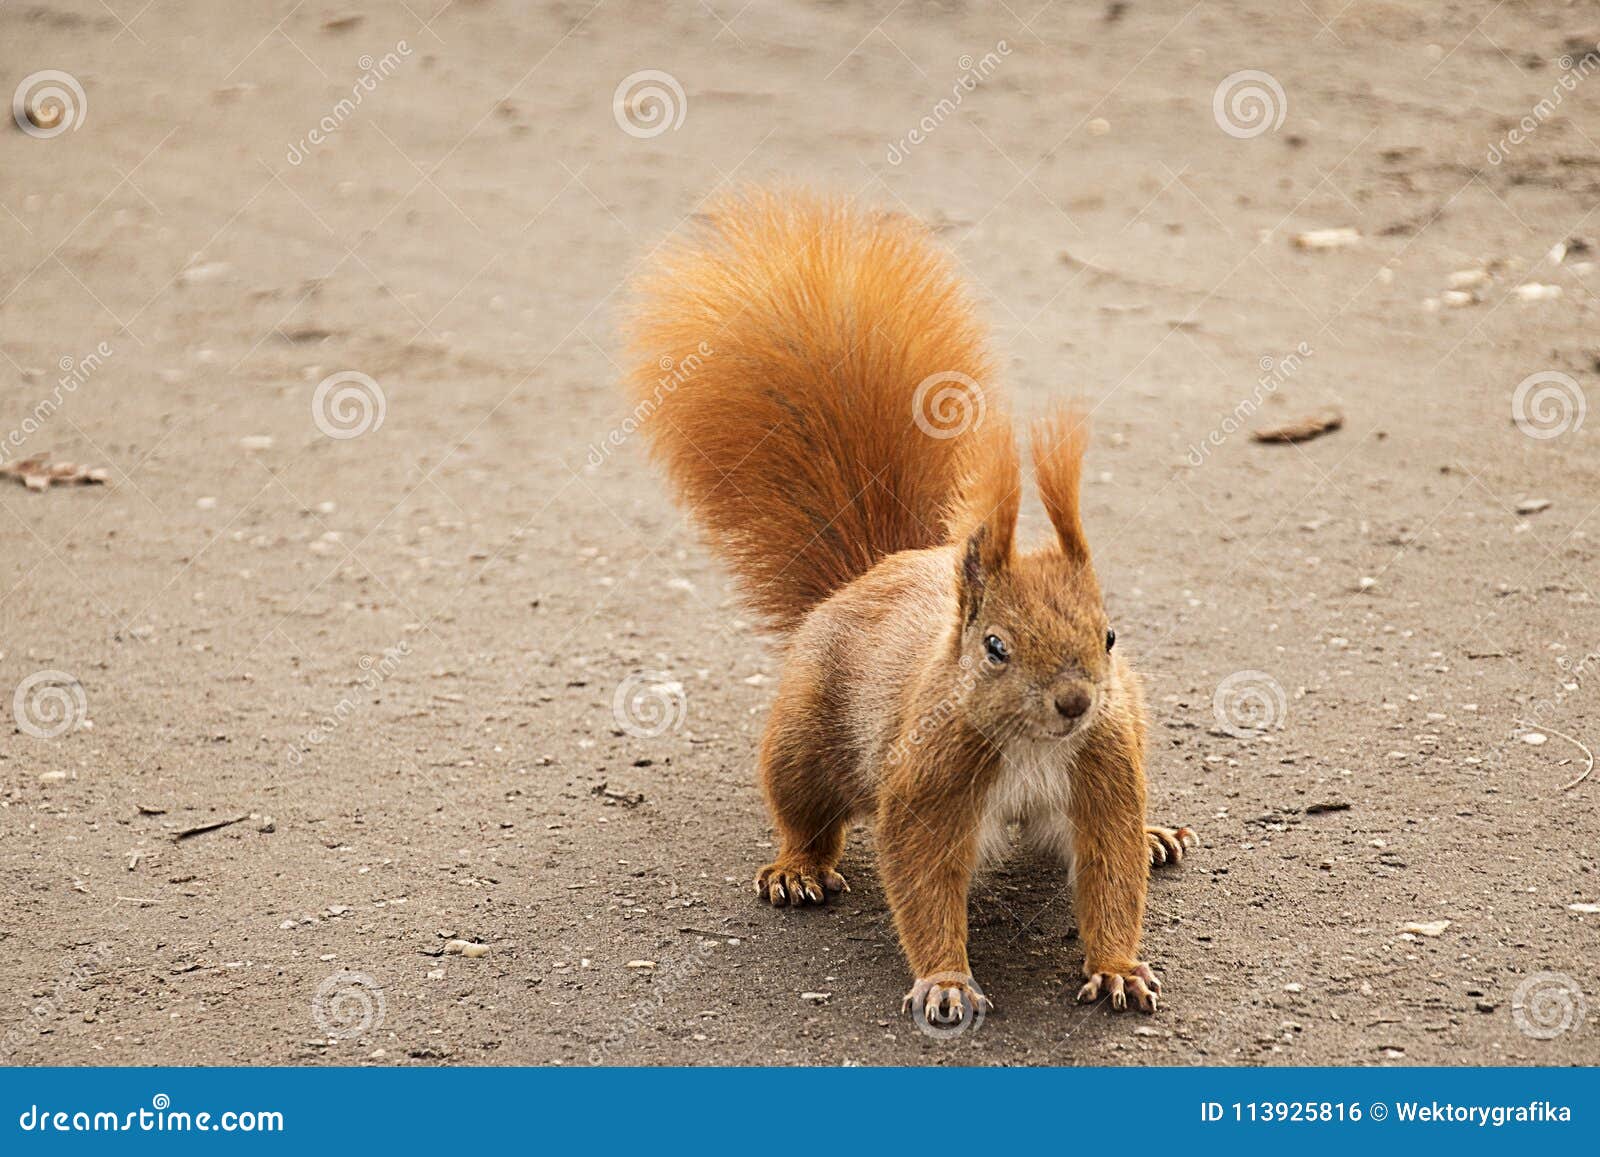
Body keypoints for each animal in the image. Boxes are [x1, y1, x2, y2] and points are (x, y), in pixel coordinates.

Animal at [626, 189, 1197, 1023]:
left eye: (1112, 635)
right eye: (995, 646)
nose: (1075, 700)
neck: (1032, 745)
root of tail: (876, 570)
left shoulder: (1106, 765)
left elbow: (1113, 869)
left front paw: (1119, 964)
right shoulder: (928, 781)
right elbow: (922, 873)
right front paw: (947, 979)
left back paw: (1160, 832)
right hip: (803, 734)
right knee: (803, 807)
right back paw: (796, 867)